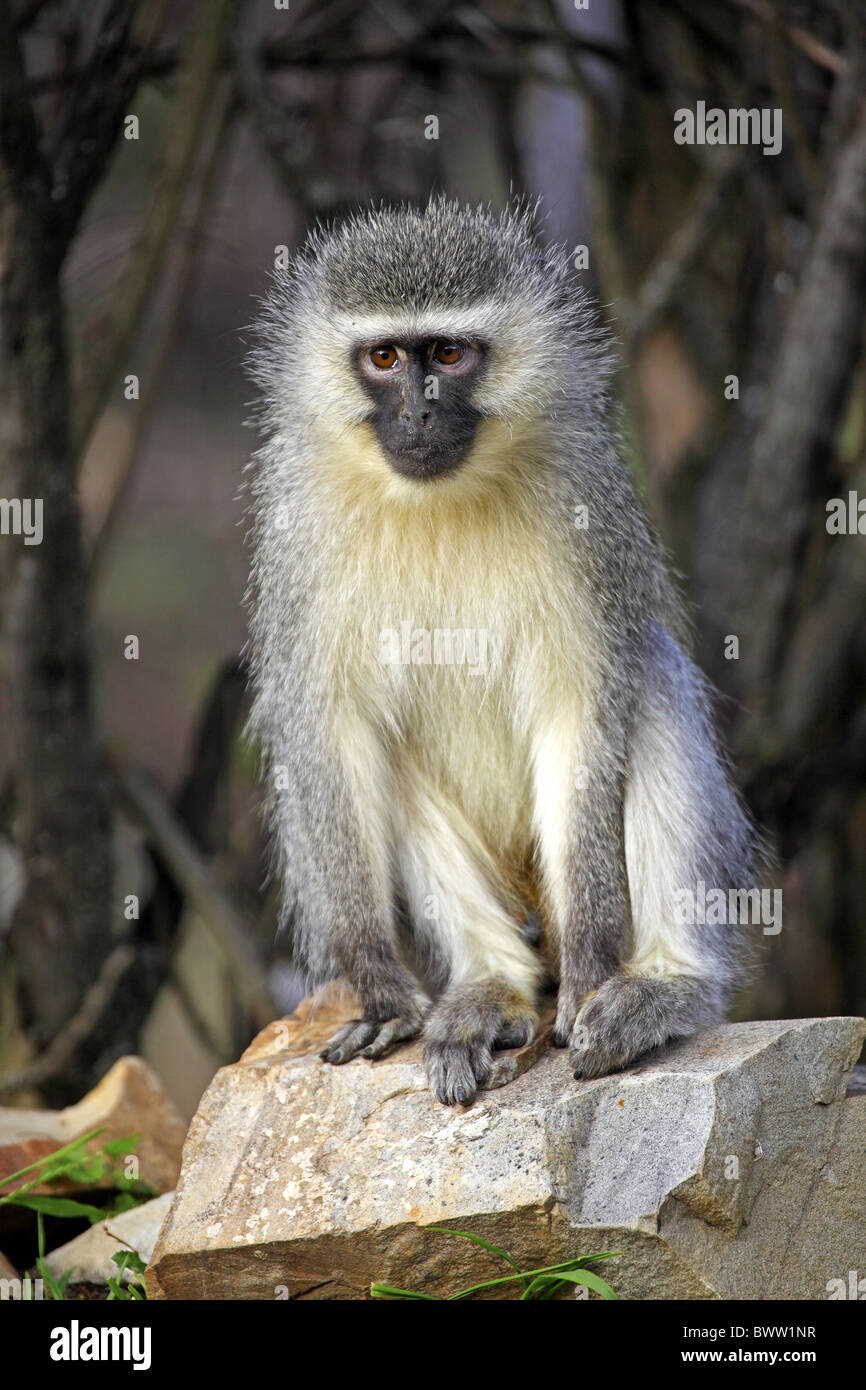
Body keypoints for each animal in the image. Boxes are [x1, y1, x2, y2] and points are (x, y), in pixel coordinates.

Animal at [244, 197, 761, 1107]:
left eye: (449, 354)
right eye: (385, 357)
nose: (418, 413)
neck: (438, 500)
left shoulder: (586, 506)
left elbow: (582, 708)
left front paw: (594, 969)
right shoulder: (296, 530)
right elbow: (330, 732)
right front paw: (381, 988)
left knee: (652, 676)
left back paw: (664, 984)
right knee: (388, 756)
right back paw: (492, 986)